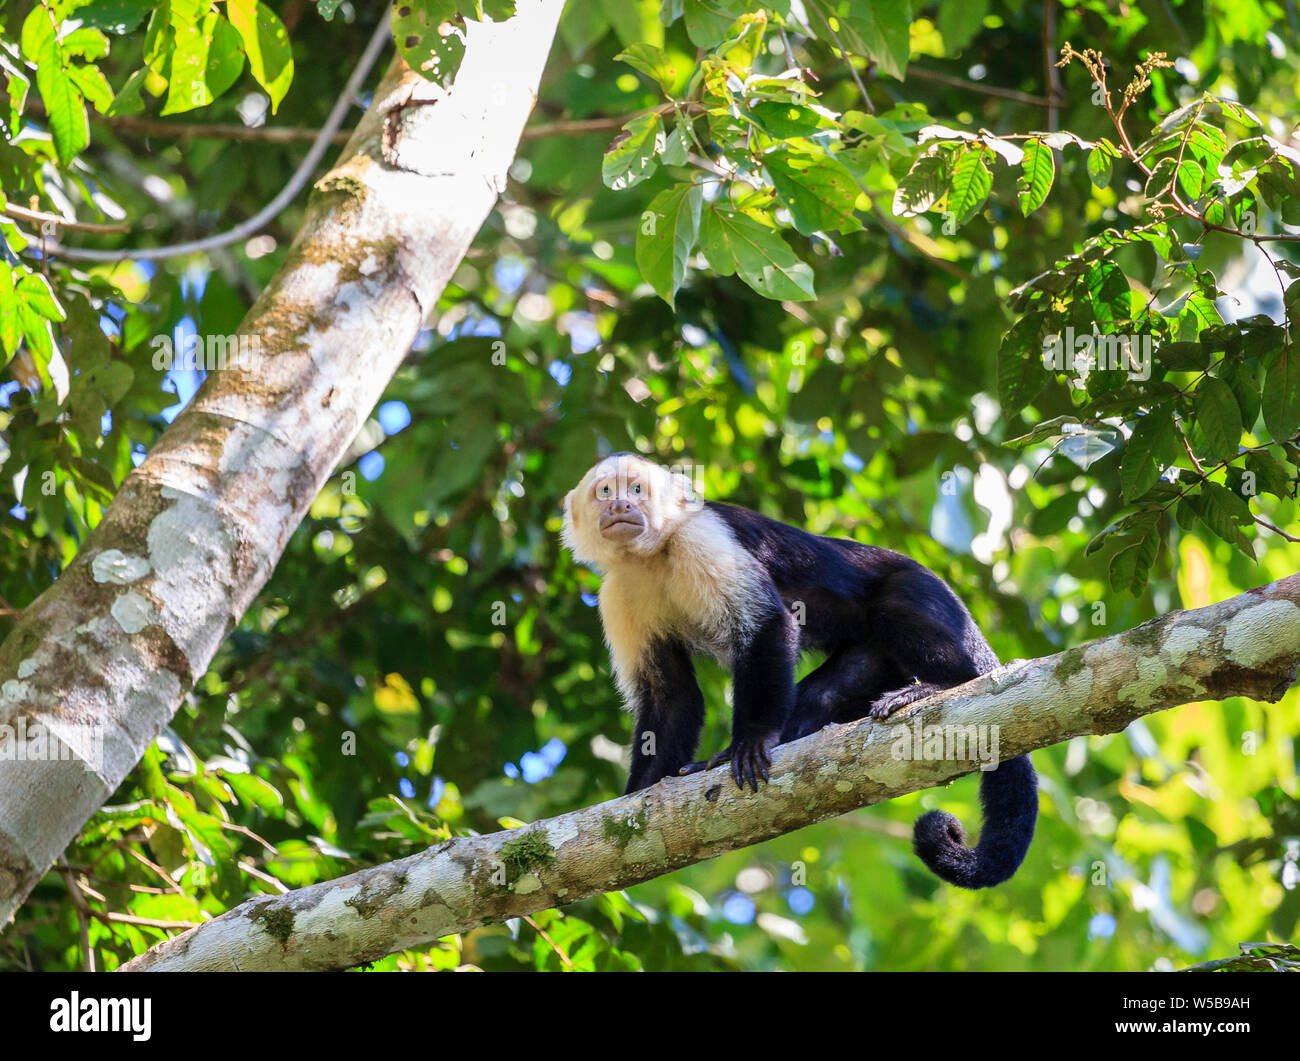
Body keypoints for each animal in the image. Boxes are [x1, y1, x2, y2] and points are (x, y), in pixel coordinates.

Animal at [561, 452, 1038, 889]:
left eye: (637, 489)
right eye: (606, 491)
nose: (621, 505)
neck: (652, 555)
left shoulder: (702, 537)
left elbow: (768, 625)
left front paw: (749, 742)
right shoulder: (619, 590)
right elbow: (669, 693)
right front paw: (639, 794)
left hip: (925, 589)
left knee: (897, 607)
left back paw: (943, 685)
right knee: (823, 692)